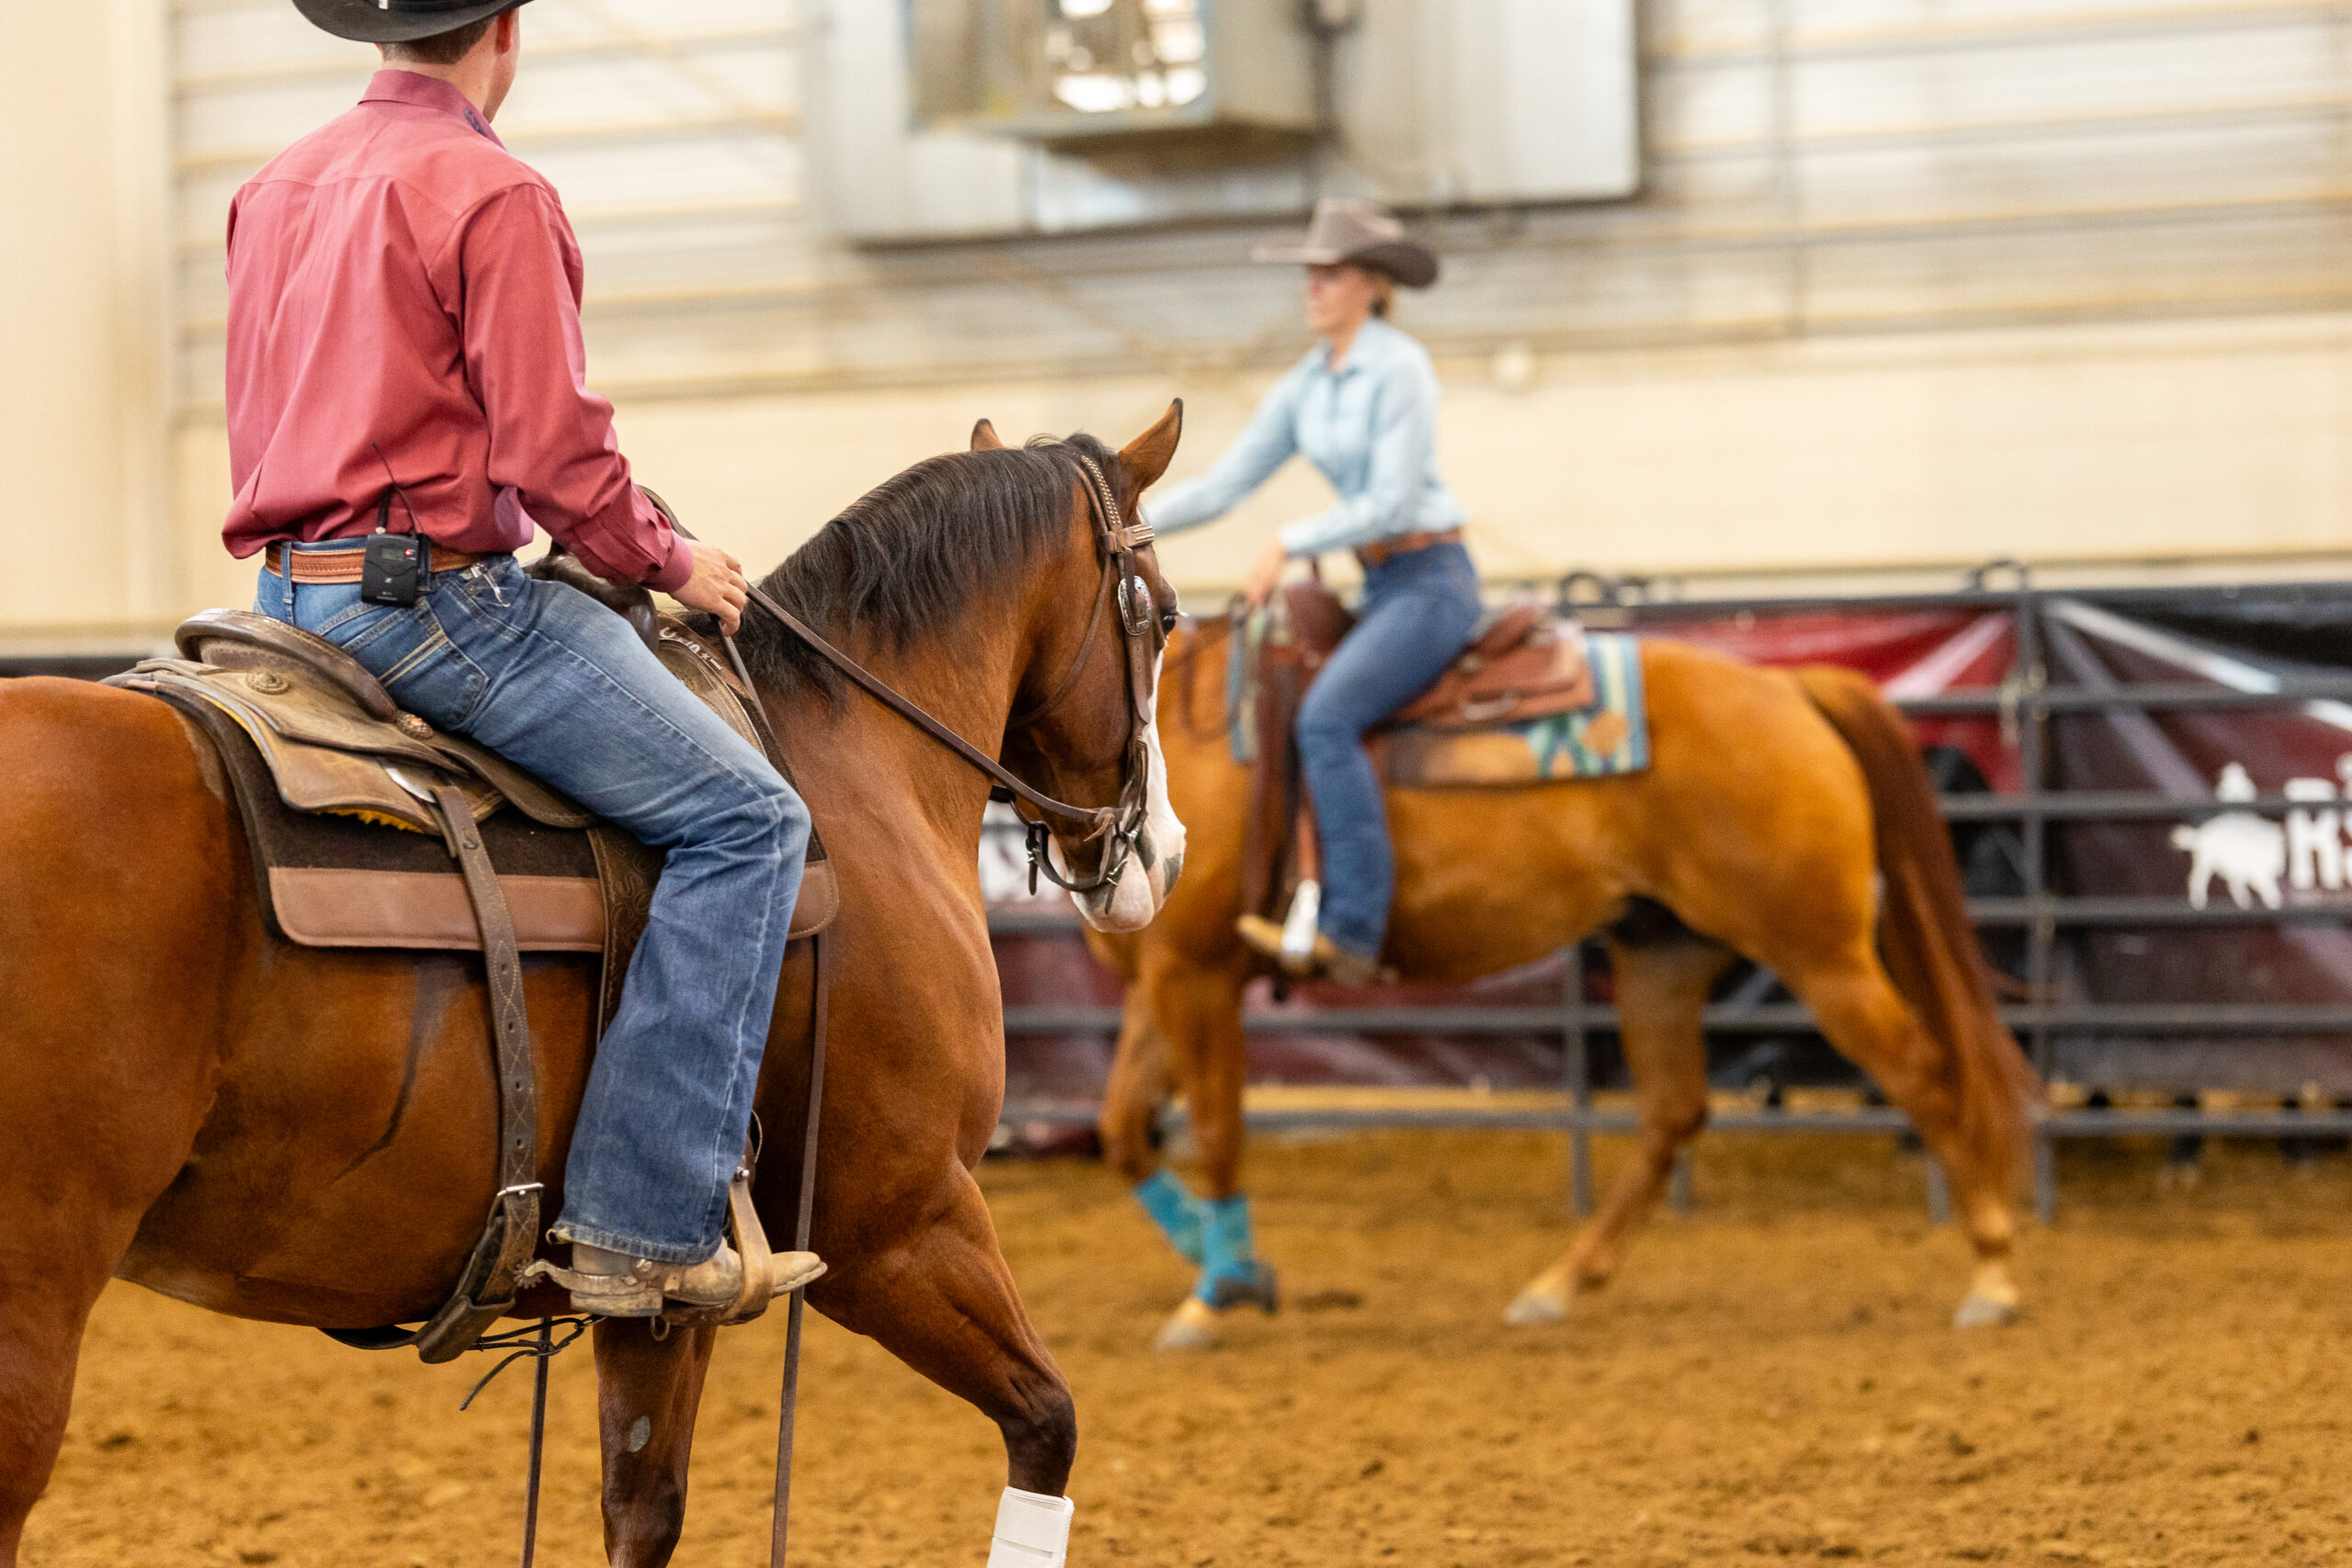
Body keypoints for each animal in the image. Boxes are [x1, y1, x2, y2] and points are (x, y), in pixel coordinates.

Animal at [0, 408, 1188, 1568]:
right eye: (1169, 618)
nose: (1161, 856)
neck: (854, 768)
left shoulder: (653, 1291)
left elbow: (639, 1507)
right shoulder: (902, 1223)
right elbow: (1046, 1419)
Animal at [1087, 616, 2041, 1351]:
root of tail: (1789, 688)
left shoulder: (1198, 973)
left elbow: (1217, 1134)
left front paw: (1215, 1293)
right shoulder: (1160, 979)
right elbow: (1122, 1128)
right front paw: (1234, 1267)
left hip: (1821, 954)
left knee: (1922, 1072)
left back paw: (1994, 1274)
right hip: (1662, 955)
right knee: (1671, 1113)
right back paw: (1558, 1284)